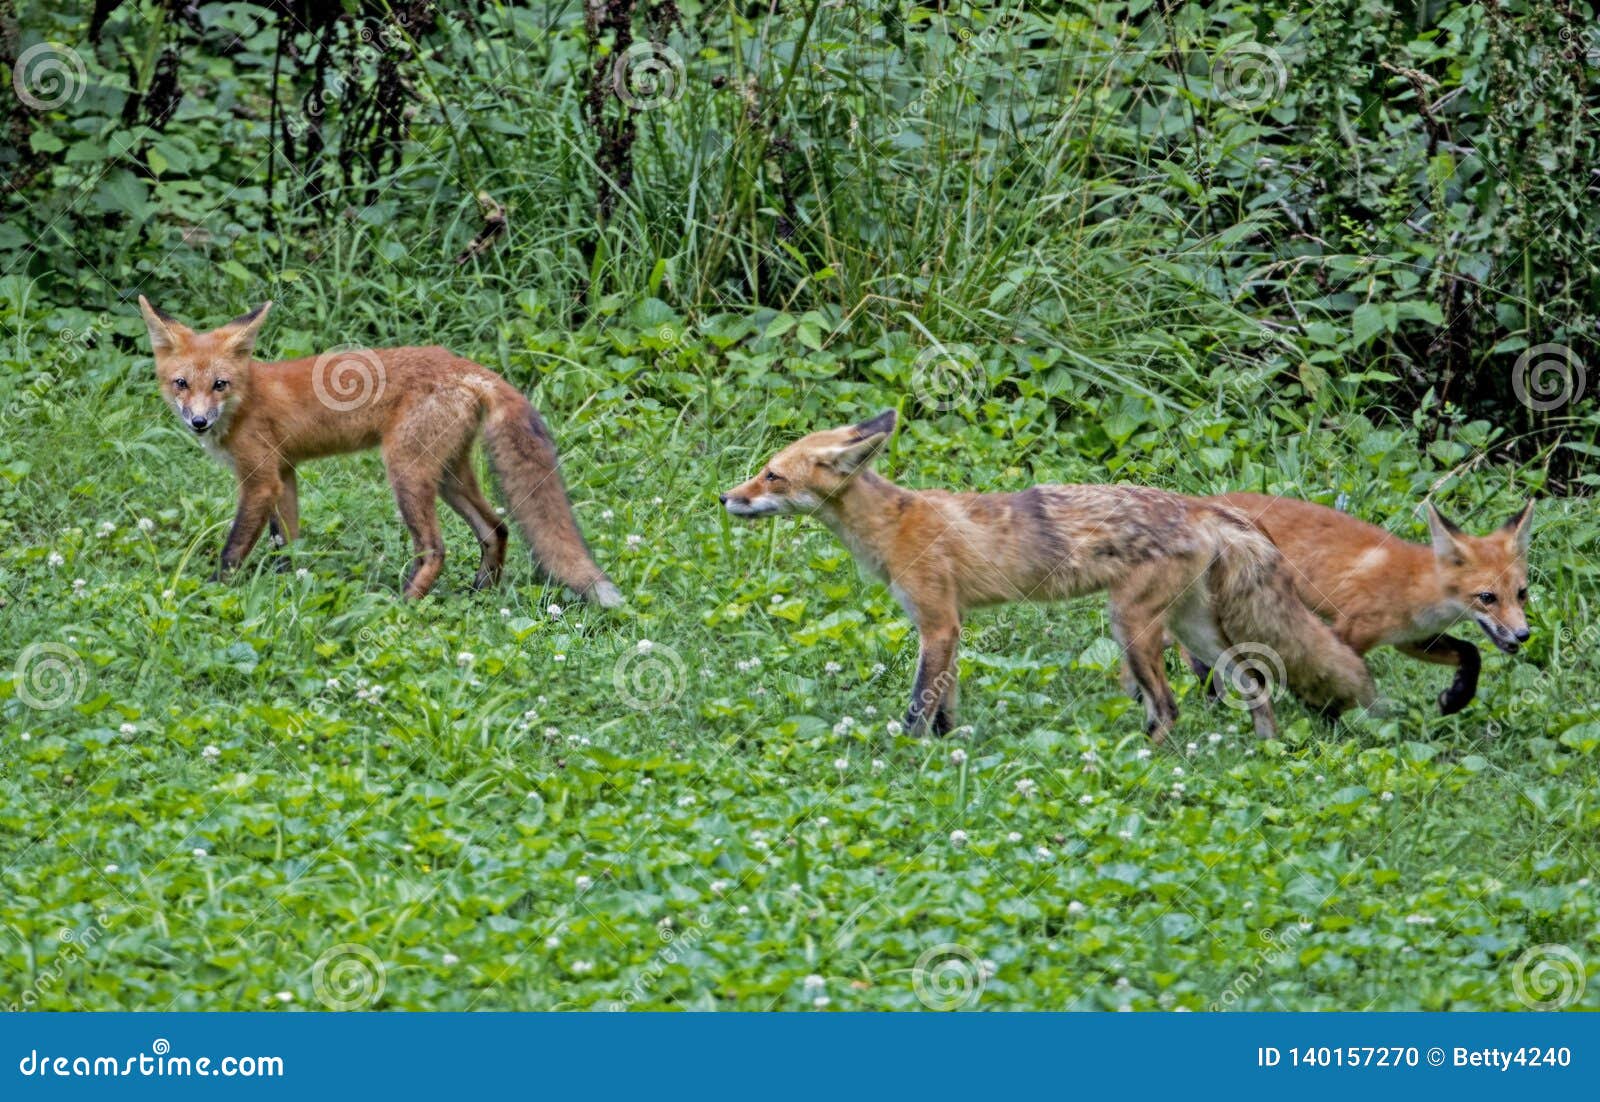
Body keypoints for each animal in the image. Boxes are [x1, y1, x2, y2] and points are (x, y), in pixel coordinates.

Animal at [137, 296, 622, 606]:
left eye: (220, 384)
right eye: (181, 383)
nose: (199, 422)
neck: (246, 399)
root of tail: (465, 366)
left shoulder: (260, 480)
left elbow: (233, 549)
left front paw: (213, 592)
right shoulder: (285, 473)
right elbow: (287, 544)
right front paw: (288, 588)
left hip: (406, 471)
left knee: (436, 548)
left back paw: (403, 605)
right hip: (447, 475)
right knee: (496, 529)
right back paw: (480, 595)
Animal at [719, 411, 1374, 741]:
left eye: (772, 476)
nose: (725, 498)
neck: (894, 524)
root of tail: (1198, 506)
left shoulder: (937, 623)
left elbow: (917, 706)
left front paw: (902, 756)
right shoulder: (951, 627)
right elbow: (945, 705)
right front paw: (946, 750)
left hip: (1132, 626)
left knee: (1169, 708)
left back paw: (1148, 763)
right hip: (1194, 630)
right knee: (1254, 681)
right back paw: (1267, 750)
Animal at [1184, 493, 1534, 715]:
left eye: (1522, 593)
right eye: (1487, 598)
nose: (1523, 635)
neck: (1415, 587)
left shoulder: (1411, 639)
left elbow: (1471, 653)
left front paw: (1456, 698)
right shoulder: (1348, 632)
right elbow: (1331, 674)